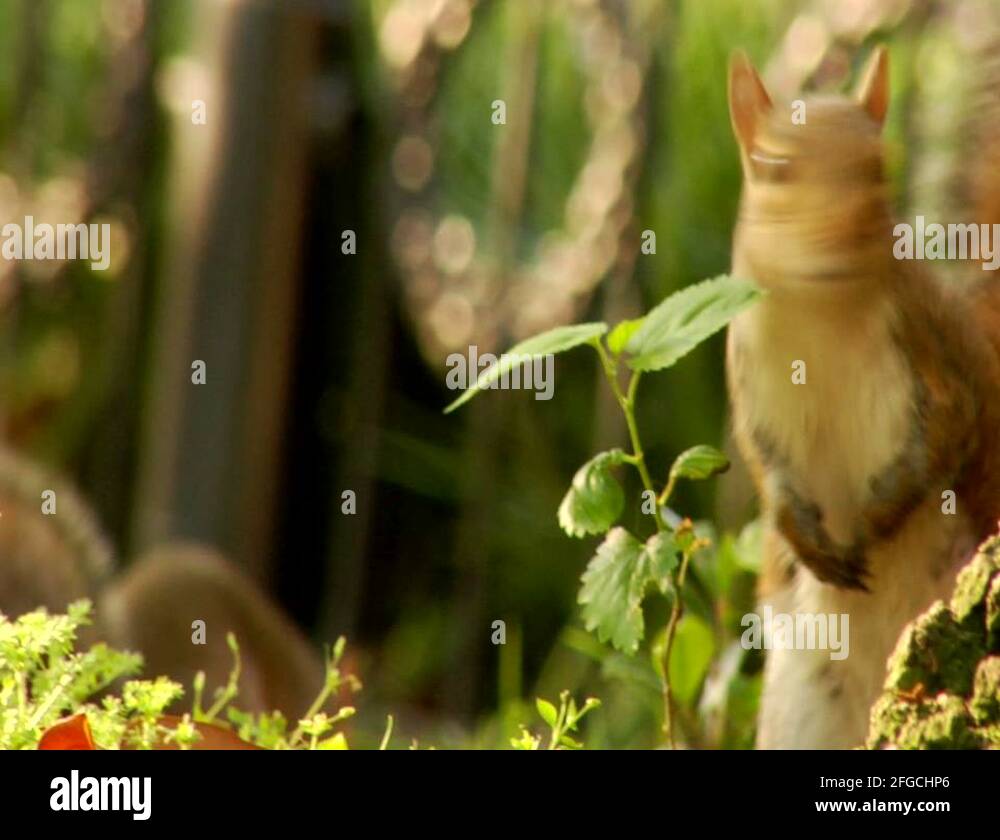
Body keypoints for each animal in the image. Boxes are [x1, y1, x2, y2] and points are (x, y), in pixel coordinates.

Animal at [726, 47, 1000, 748]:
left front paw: (880, 515)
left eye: (879, 167)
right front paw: (805, 537)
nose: (842, 232)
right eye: (774, 166)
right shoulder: (749, 386)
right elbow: (765, 470)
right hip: (801, 714)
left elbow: (948, 434)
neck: (820, 314)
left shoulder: (928, 351)